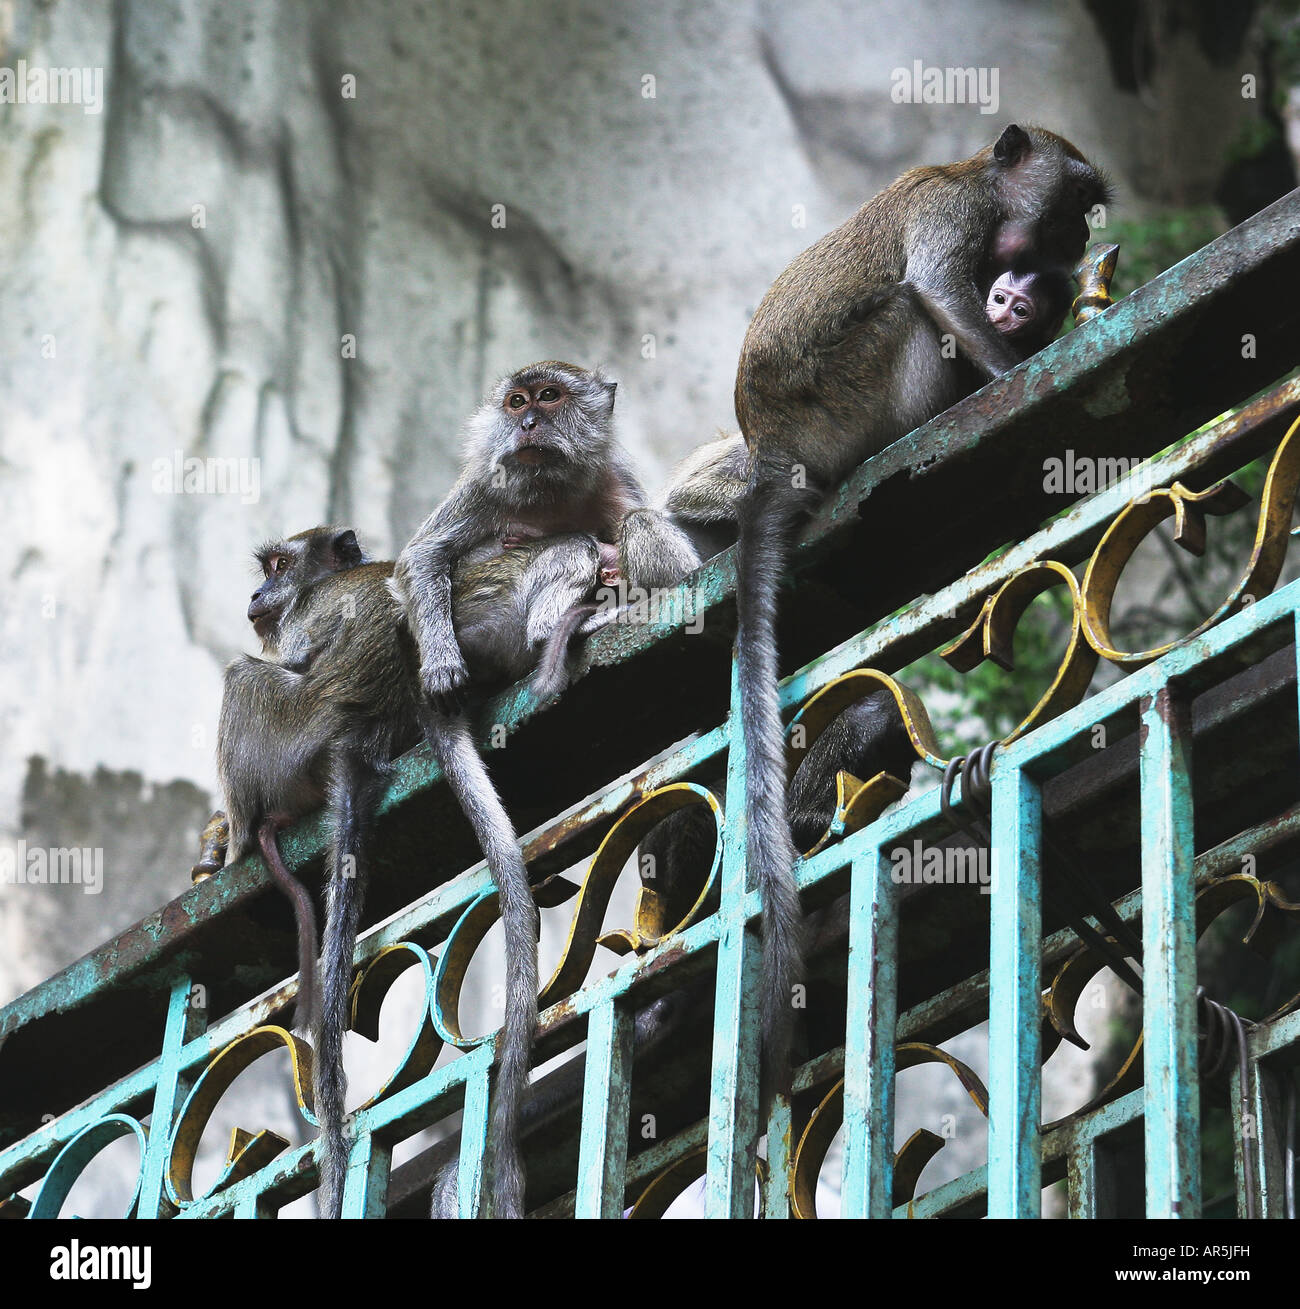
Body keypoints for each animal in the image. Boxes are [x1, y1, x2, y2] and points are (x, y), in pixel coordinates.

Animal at [213, 524, 609, 1220]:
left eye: (280, 567)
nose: (259, 595)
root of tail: (354, 732)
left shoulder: (301, 623)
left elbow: (284, 656)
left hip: (285, 729)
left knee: (243, 678)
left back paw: (232, 847)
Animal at [727, 123, 1111, 1092]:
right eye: (1068, 204)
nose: (1072, 243)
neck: (981, 177)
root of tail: (773, 447)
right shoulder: (958, 215)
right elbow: (938, 291)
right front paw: (1018, 369)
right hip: (856, 393)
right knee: (908, 309)